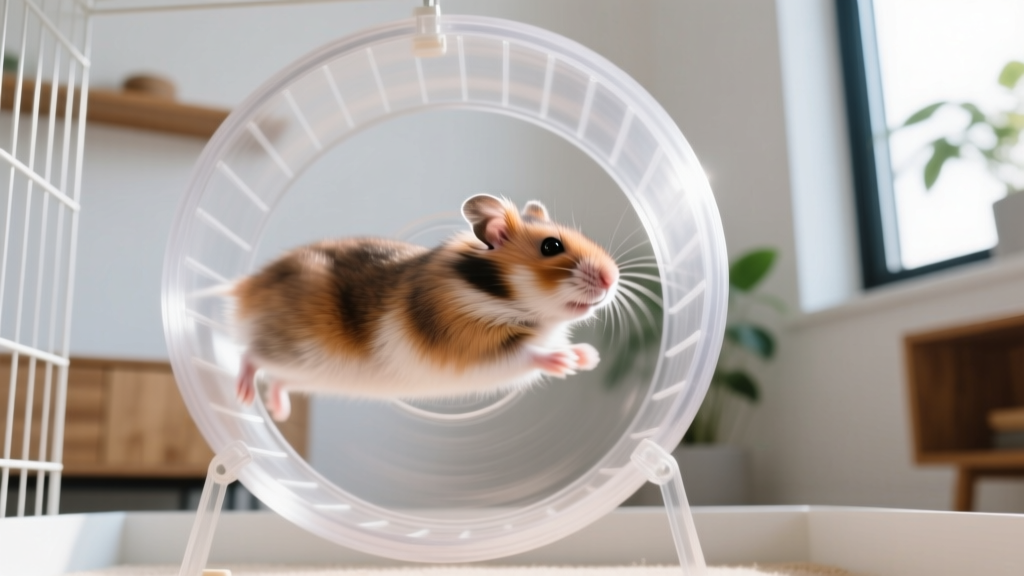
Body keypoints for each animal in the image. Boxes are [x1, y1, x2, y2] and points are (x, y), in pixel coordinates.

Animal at [230, 194, 620, 421]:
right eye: (551, 246)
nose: (612, 277)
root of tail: (247, 286)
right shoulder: (467, 348)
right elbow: (527, 353)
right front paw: (568, 360)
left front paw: (587, 357)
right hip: (295, 348)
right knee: (249, 355)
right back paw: (243, 396)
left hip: (304, 370)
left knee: (274, 378)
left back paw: (279, 411)